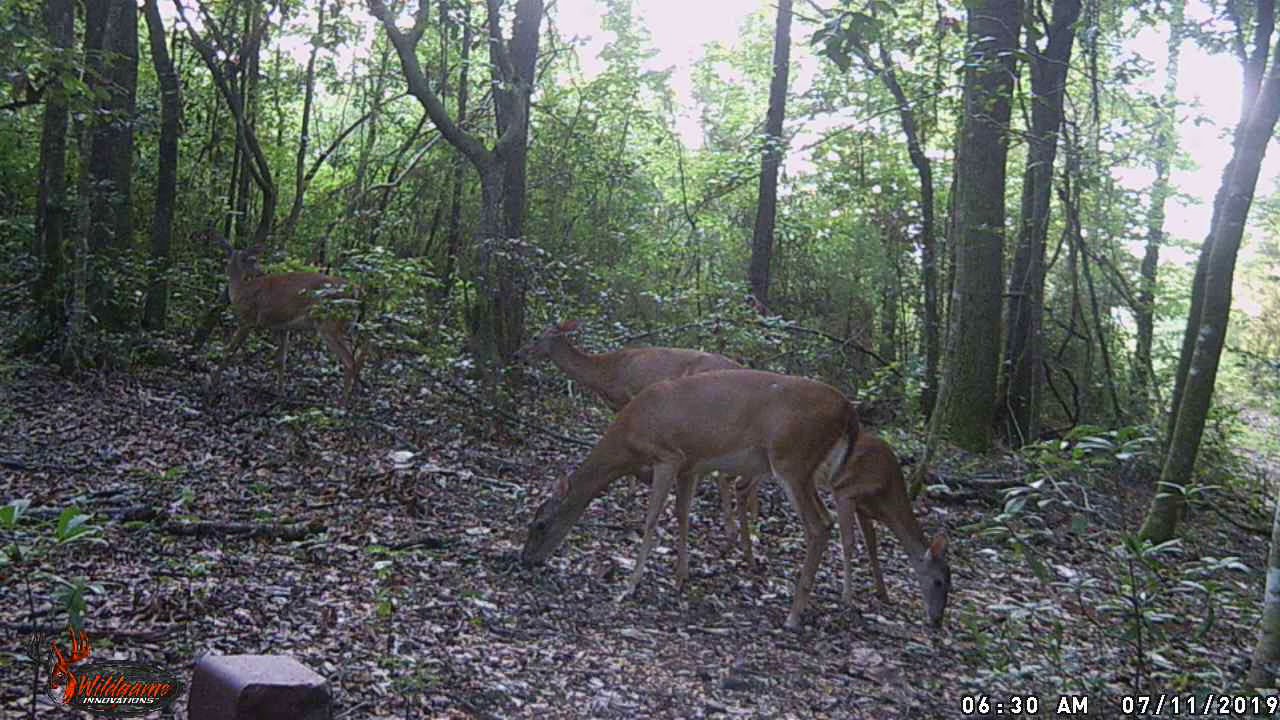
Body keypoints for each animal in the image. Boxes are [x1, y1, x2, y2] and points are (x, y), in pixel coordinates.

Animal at [202, 231, 364, 406]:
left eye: (253, 259)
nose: (261, 271)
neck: (240, 290)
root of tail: (357, 292)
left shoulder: (248, 319)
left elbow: (229, 351)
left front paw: (212, 387)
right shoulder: (283, 327)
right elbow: (281, 360)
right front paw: (280, 394)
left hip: (329, 323)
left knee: (349, 361)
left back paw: (341, 404)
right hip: (346, 325)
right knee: (358, 357)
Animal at [515, 319, 768, 561]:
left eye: (536, 337)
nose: (519, 354)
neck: (604, 373)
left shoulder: (627, 398)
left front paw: (630, 490)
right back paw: (751, 518)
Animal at [521, 368, 952, 630]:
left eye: (540, 523)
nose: (525, 559)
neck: (629, 437)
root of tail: (849, 411)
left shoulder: (667, 455)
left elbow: (651, 518)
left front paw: (630, 585)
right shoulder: (691, 463)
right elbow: (681, 515)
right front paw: (680, 576)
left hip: (791, 459)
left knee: (819, 525)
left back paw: (793, 615)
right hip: (809, 469)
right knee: (827, 523)